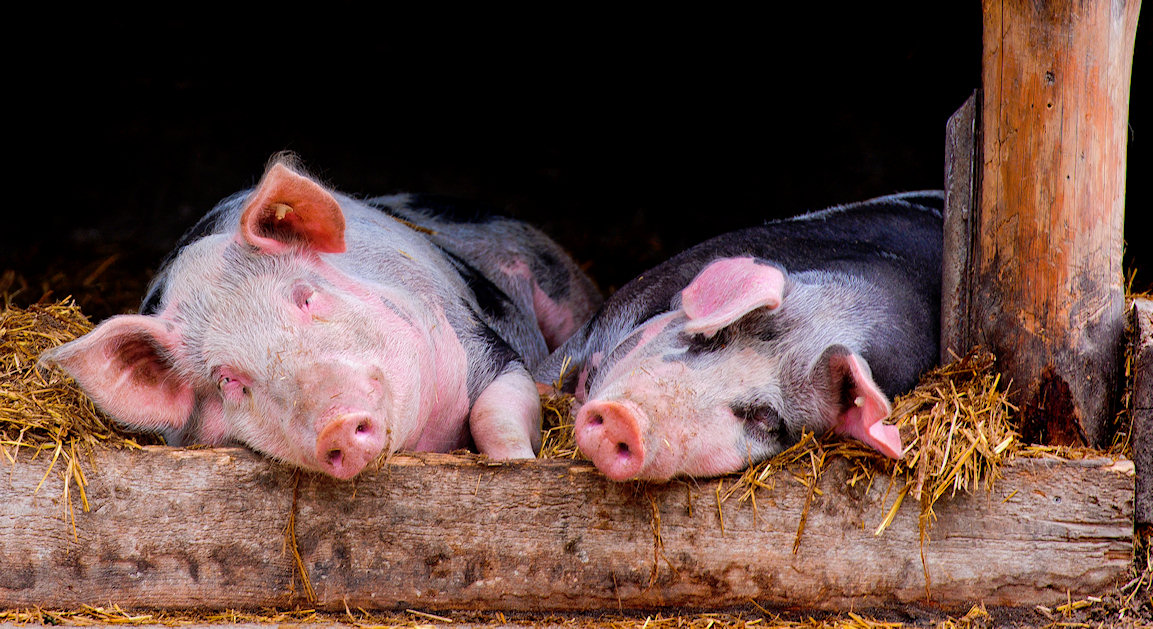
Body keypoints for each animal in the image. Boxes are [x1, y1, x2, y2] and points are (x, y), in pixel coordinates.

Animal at [42, 154, 601, 479]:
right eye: (227, 380)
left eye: (307, 298)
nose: (335, 422)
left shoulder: (485, 345)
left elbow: (496, 416)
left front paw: (522, 464)